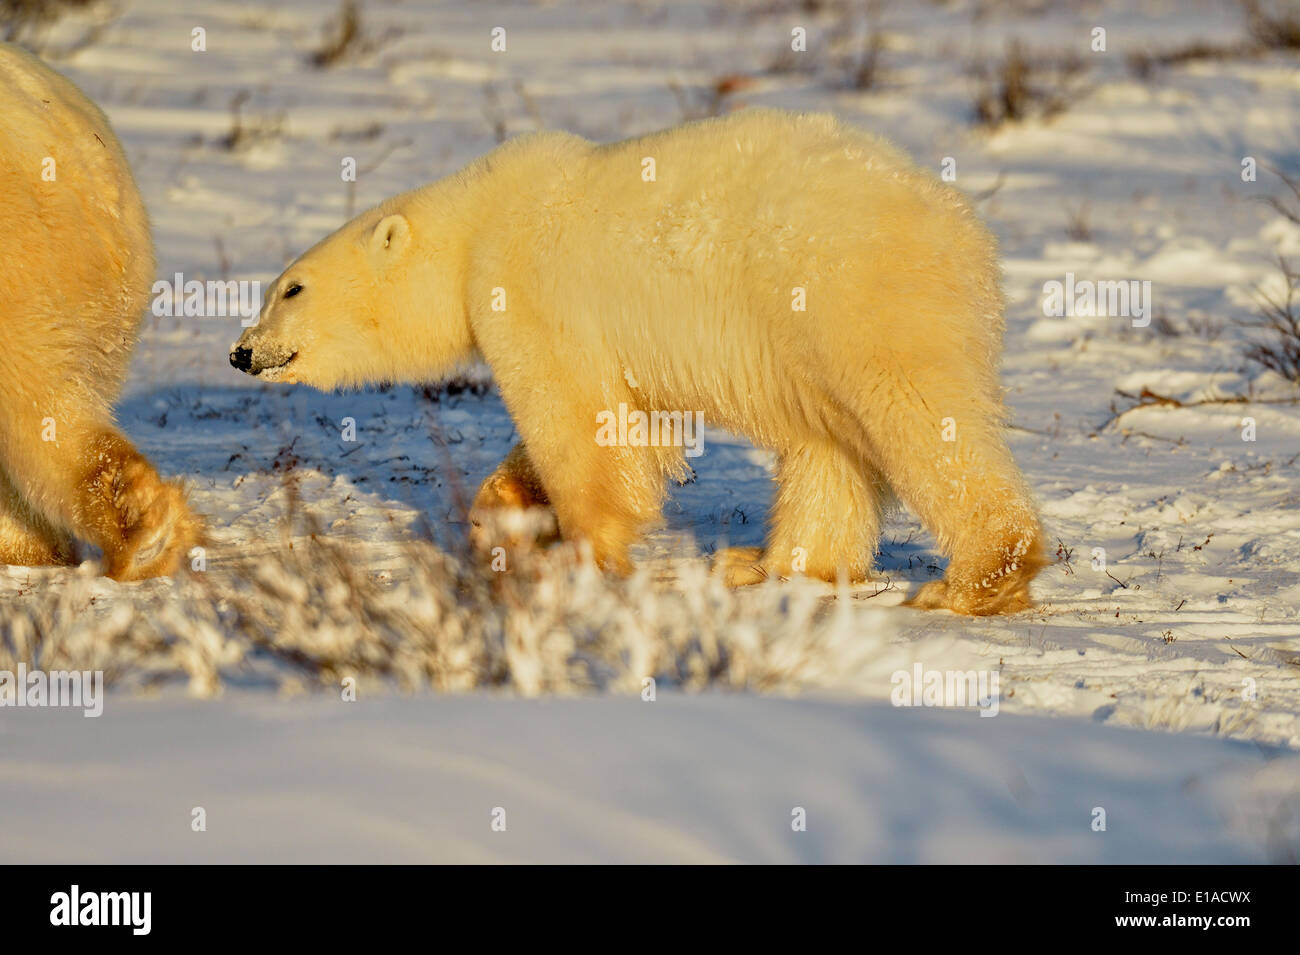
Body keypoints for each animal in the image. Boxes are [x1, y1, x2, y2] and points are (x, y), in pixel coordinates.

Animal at [230, 108, 1045, 614]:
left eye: (290, 288)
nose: (241, 350)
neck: (474, 224)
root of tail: (964, 230)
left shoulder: (528, 284)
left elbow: (574, 414)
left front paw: (586, 551)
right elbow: (627, 420)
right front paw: (506, 507)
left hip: (852, 296)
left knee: (919, 418)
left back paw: (973, 580)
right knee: (827, 448)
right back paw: (766, 563)